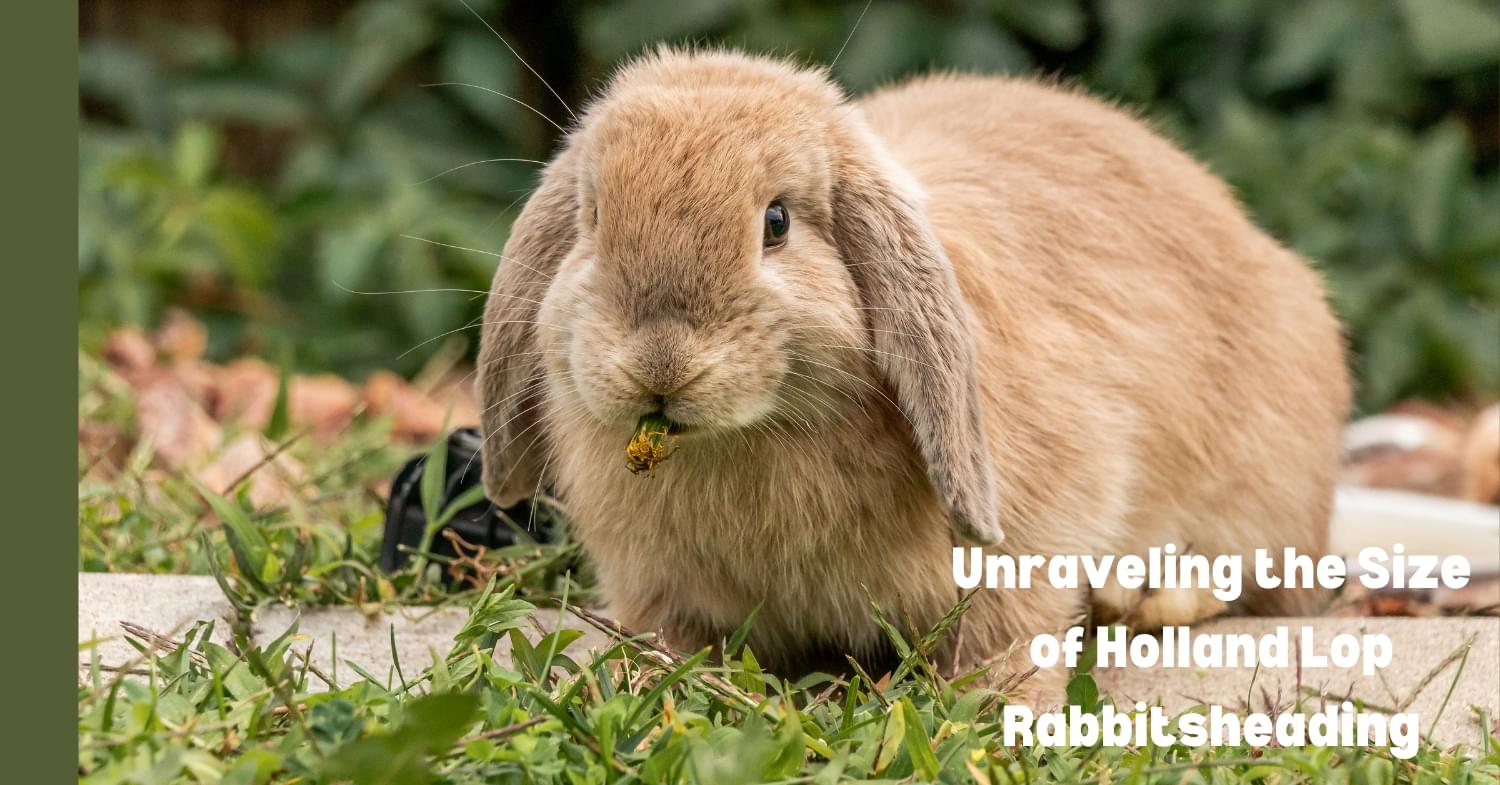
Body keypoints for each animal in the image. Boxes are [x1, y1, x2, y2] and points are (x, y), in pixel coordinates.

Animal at [477, 48, 1350, 700]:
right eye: (591, 217)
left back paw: (1139, 599)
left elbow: (1011, 633)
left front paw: (1000, 711)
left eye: (776, 222)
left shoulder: (1035, 540)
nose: (660, 363)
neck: (754, 437)